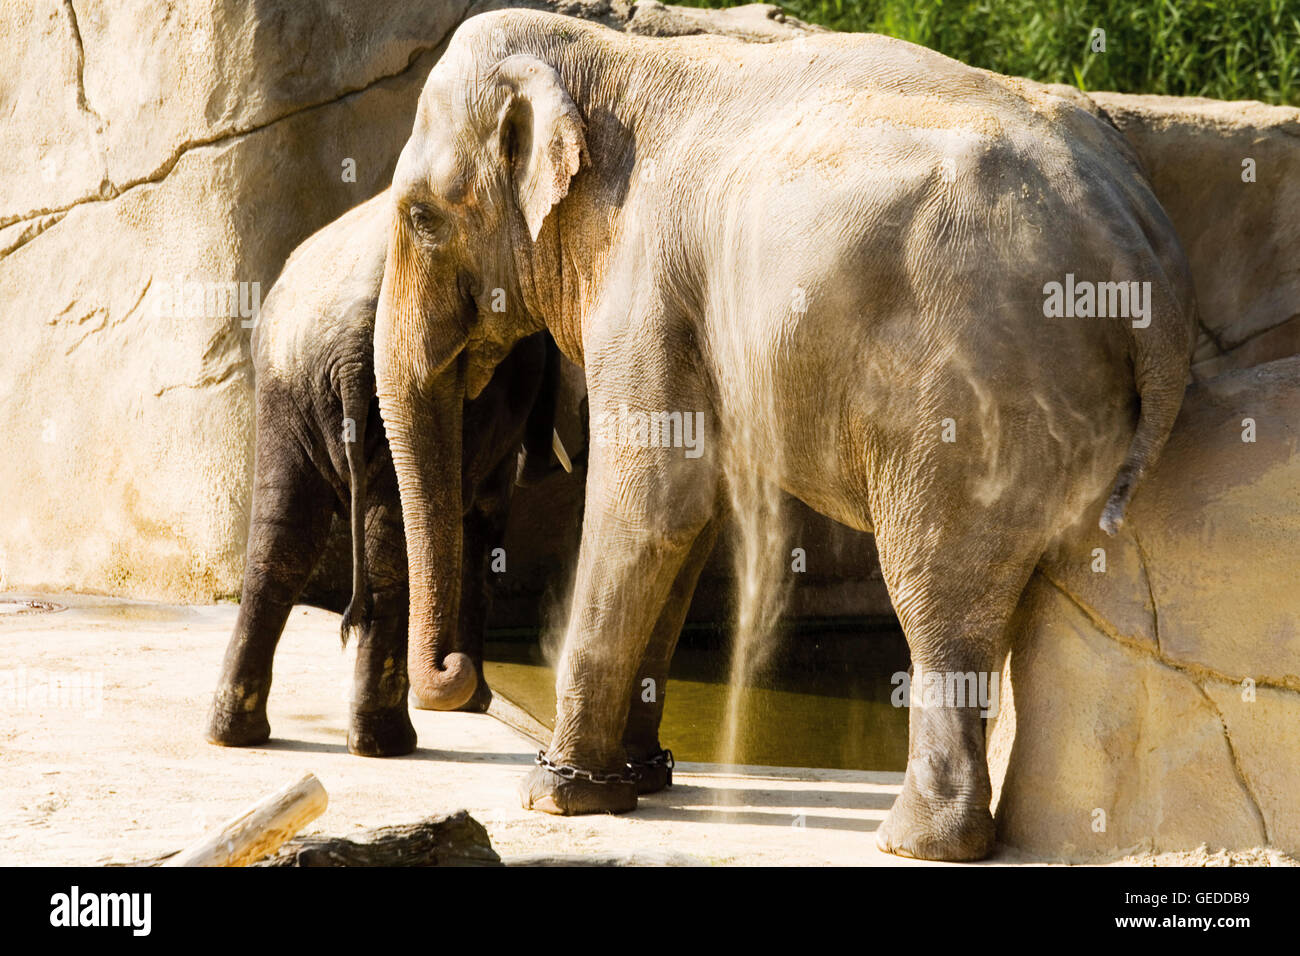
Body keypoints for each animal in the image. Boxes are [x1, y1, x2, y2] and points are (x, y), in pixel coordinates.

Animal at [206, 188, 562, 758]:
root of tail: (353, 346)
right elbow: (480, 528)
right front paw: (471, 698)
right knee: (386, 547)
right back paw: (389, 743)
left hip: (289, 387)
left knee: (283, 537)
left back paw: (236, 735)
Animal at [373, 10, 1197, 860]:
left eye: (420, 218)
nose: (460, 673)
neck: (602, 54)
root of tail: (1145, 259)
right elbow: (690, 520)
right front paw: (636, 780)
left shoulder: (647, 284)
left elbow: (650, 506)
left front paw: (557, 795)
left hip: (980, 388)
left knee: (936, 583)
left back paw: (916, 841)